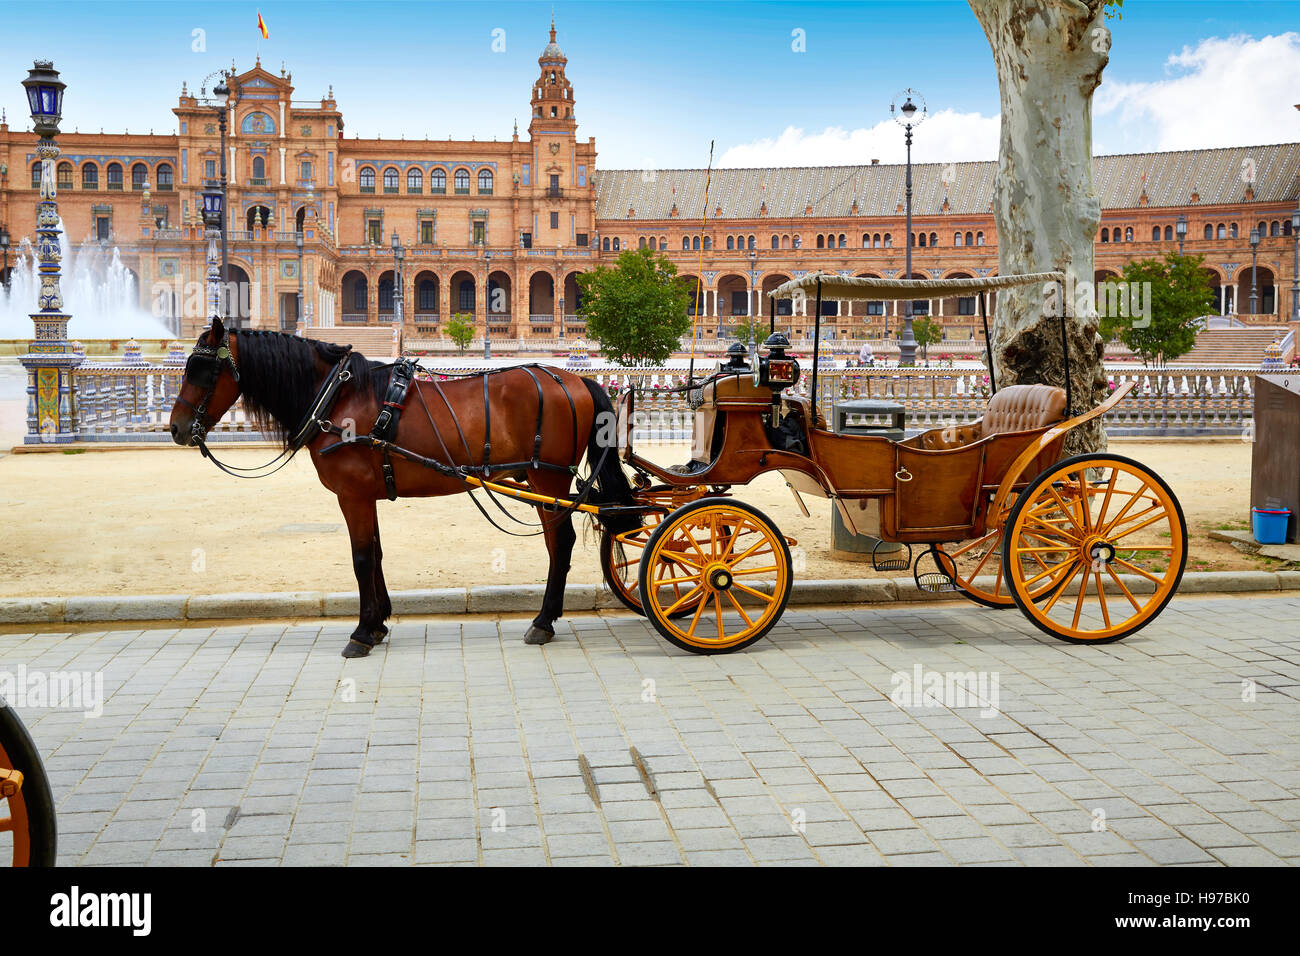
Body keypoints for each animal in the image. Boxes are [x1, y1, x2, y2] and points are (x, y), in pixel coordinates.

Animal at [168, 317, 639, 658]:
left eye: (202, 370)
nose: (175, 428)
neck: (338, 398)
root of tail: (576, 379)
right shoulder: (365, 496)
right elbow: (374, 554)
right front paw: (378, 624)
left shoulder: (353, 496)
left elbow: (360, 559)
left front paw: (361, 632)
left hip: (548, 479)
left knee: (560, 544)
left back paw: (543, 622)